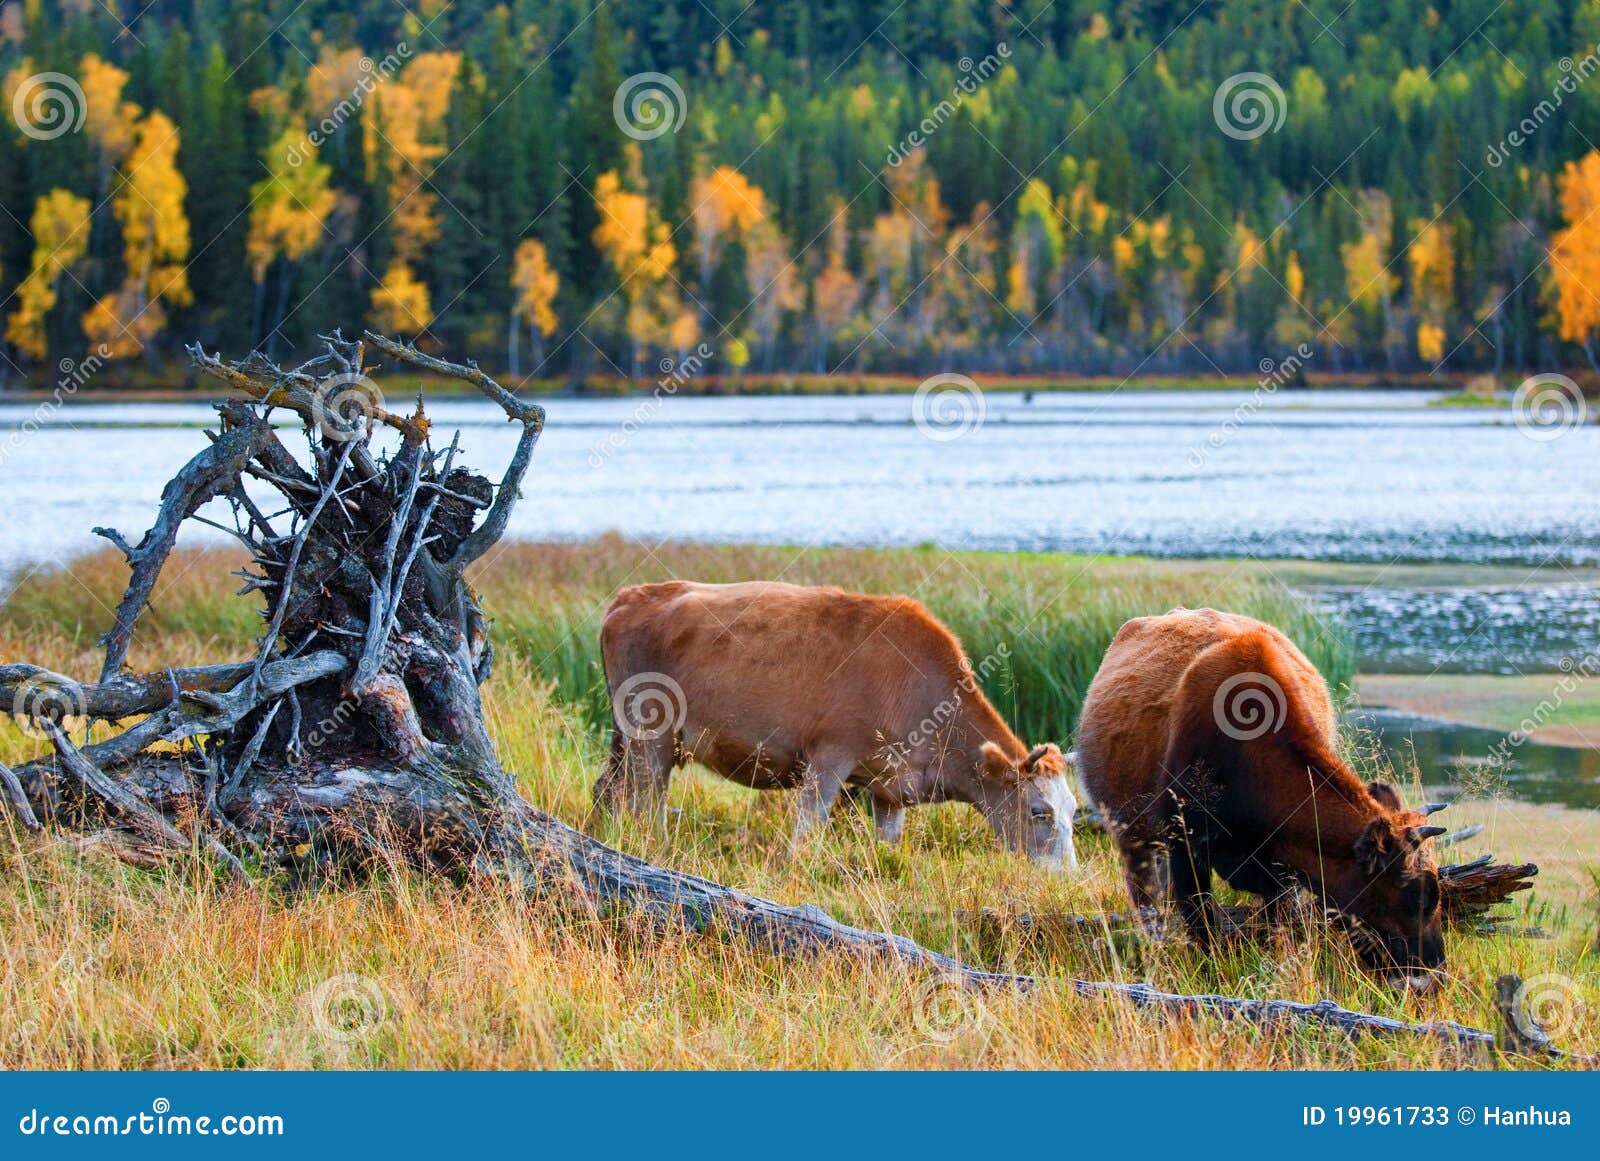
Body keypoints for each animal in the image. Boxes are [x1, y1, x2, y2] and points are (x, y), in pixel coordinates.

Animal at [594, 580, 1078, 869]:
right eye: (1039, 811)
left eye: (1075, 810)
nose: (1066, 876)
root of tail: (634, 594)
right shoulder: (828, 758)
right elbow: (806, 830)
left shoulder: (891, 786)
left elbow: (888, 843)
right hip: (650, 739)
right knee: (645, 803)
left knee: (610, 790)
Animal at [1075, 608, 1446, 978]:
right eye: (1418, 894)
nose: (1433, 966)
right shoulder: (1185, 845)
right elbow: (1201, 923)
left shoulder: (1278, 869)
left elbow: (1280, 920)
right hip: (1132, 838)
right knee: (1146, 900)